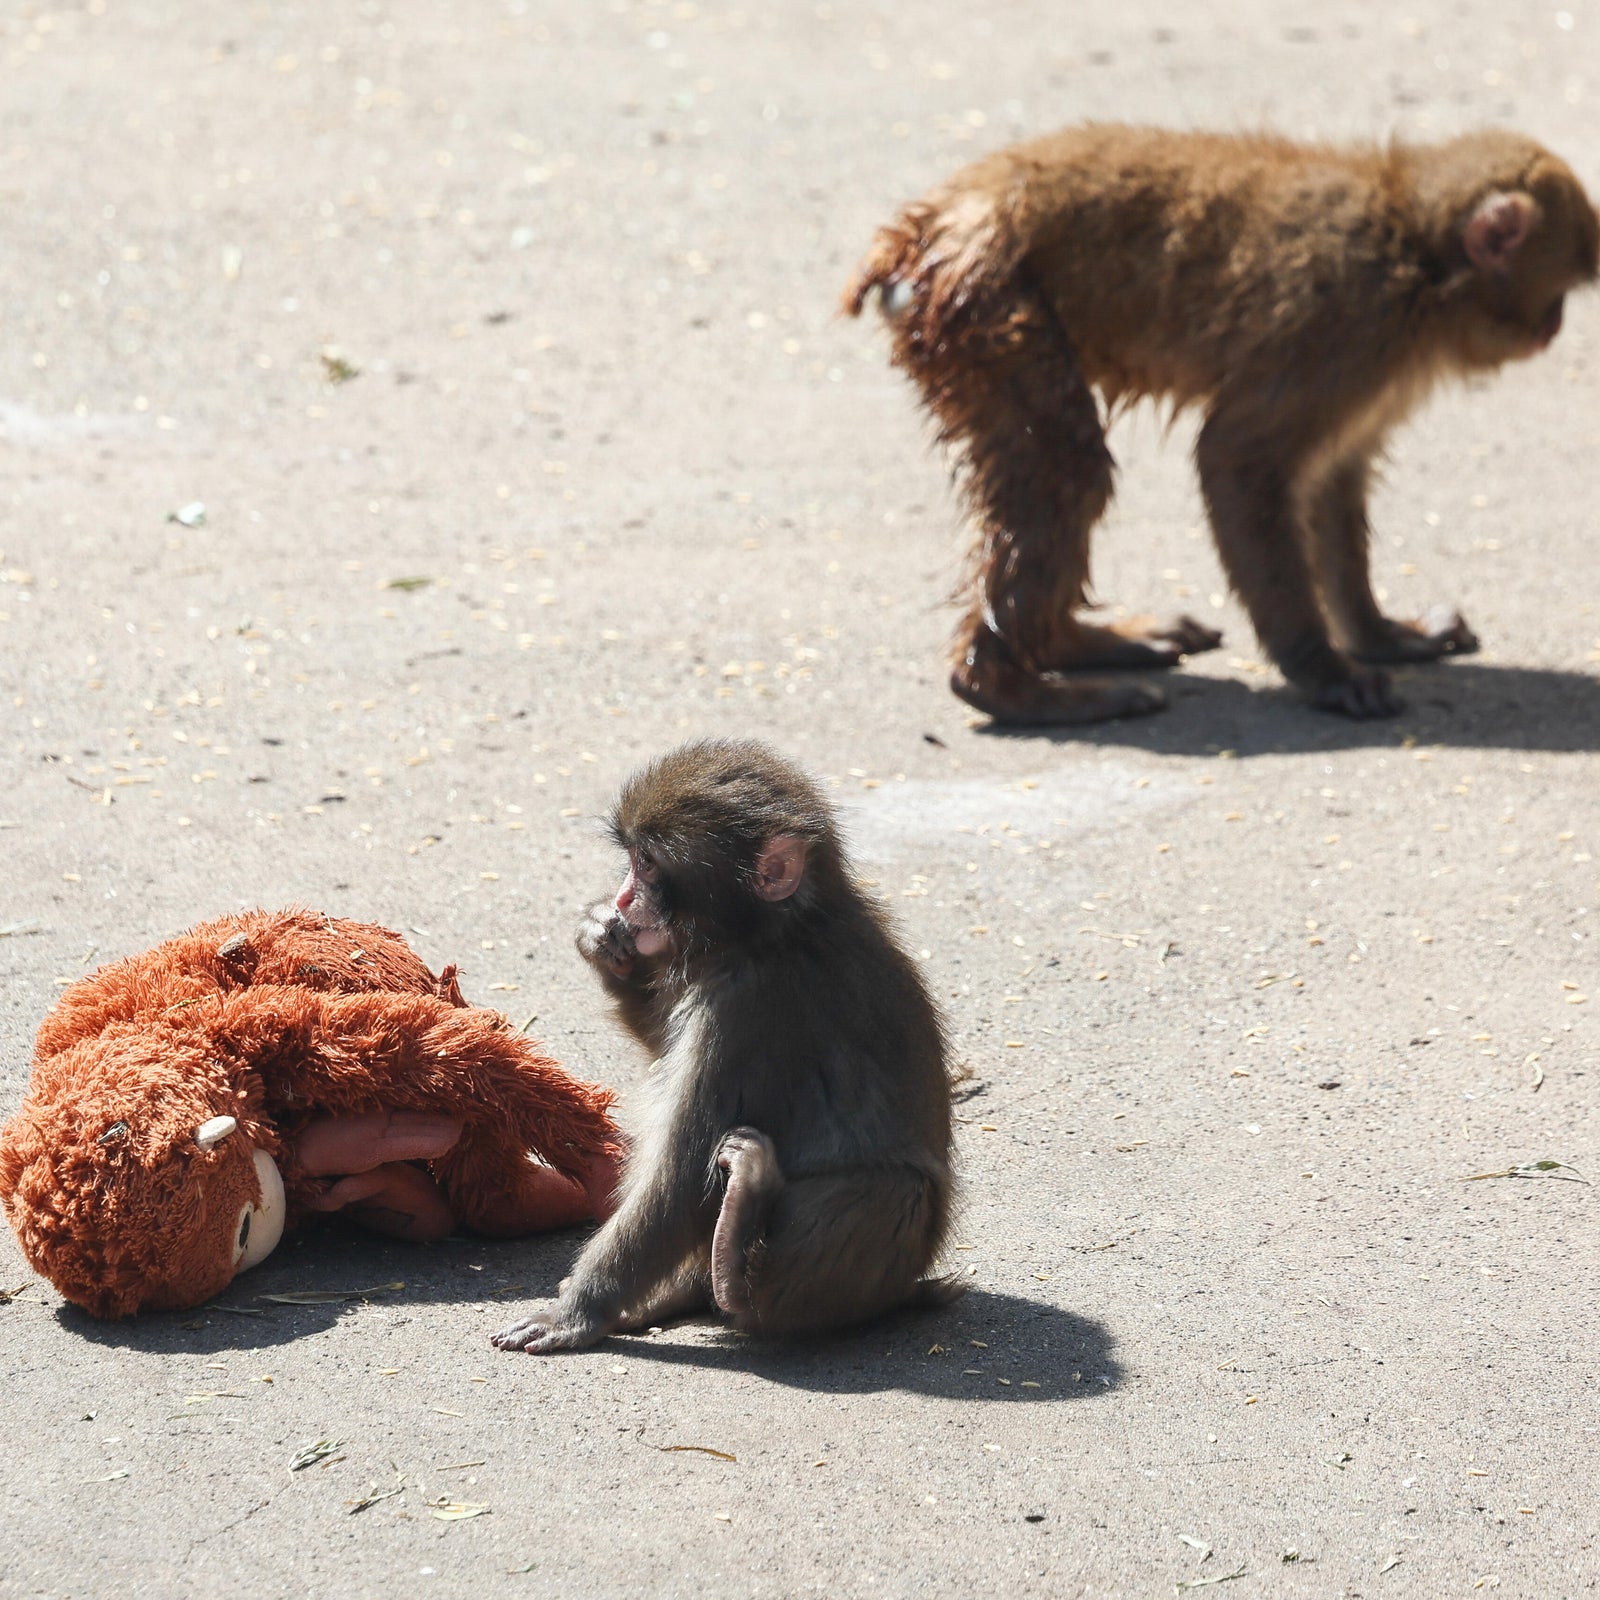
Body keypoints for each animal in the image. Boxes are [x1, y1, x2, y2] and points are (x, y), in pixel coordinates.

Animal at [492, 738, 961, 1354]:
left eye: (648, 864)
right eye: (632, 858)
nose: (624, 896)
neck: (774, 935)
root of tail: (906, 1289)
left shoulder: (748, 1011)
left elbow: (683, 1174)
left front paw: (576, 1312)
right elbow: (663, 1043)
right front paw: (605, 943)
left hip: (886, 1259)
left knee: (891, 1191)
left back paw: (736, 1263)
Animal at [844, 125, 1599, 723]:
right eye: (1559, 292)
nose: (1555, 328)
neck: (1414, 248)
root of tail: (925, 225)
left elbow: (1334, 475)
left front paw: (1380, 634)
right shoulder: (1344, 325)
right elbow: (1235, 457)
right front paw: (1321, 668)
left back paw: (1070, 645)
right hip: (987, 308)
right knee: (1067, 466)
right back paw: (1009, 687)